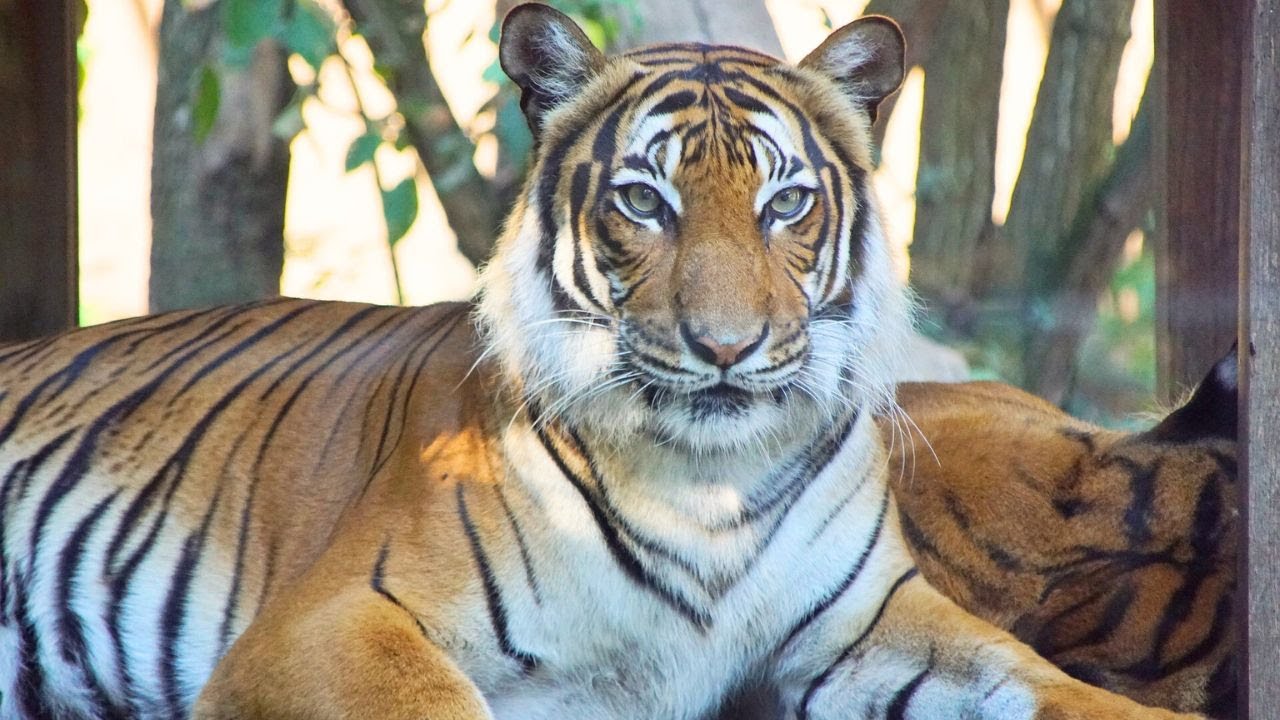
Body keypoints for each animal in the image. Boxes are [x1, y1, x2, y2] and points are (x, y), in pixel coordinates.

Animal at [0, 4, 1201, 719]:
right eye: (644, 201)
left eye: (784, 205)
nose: (726, 347)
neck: (708, 488)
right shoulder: (333, 619)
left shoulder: (873, 623)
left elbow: (1054, 686)